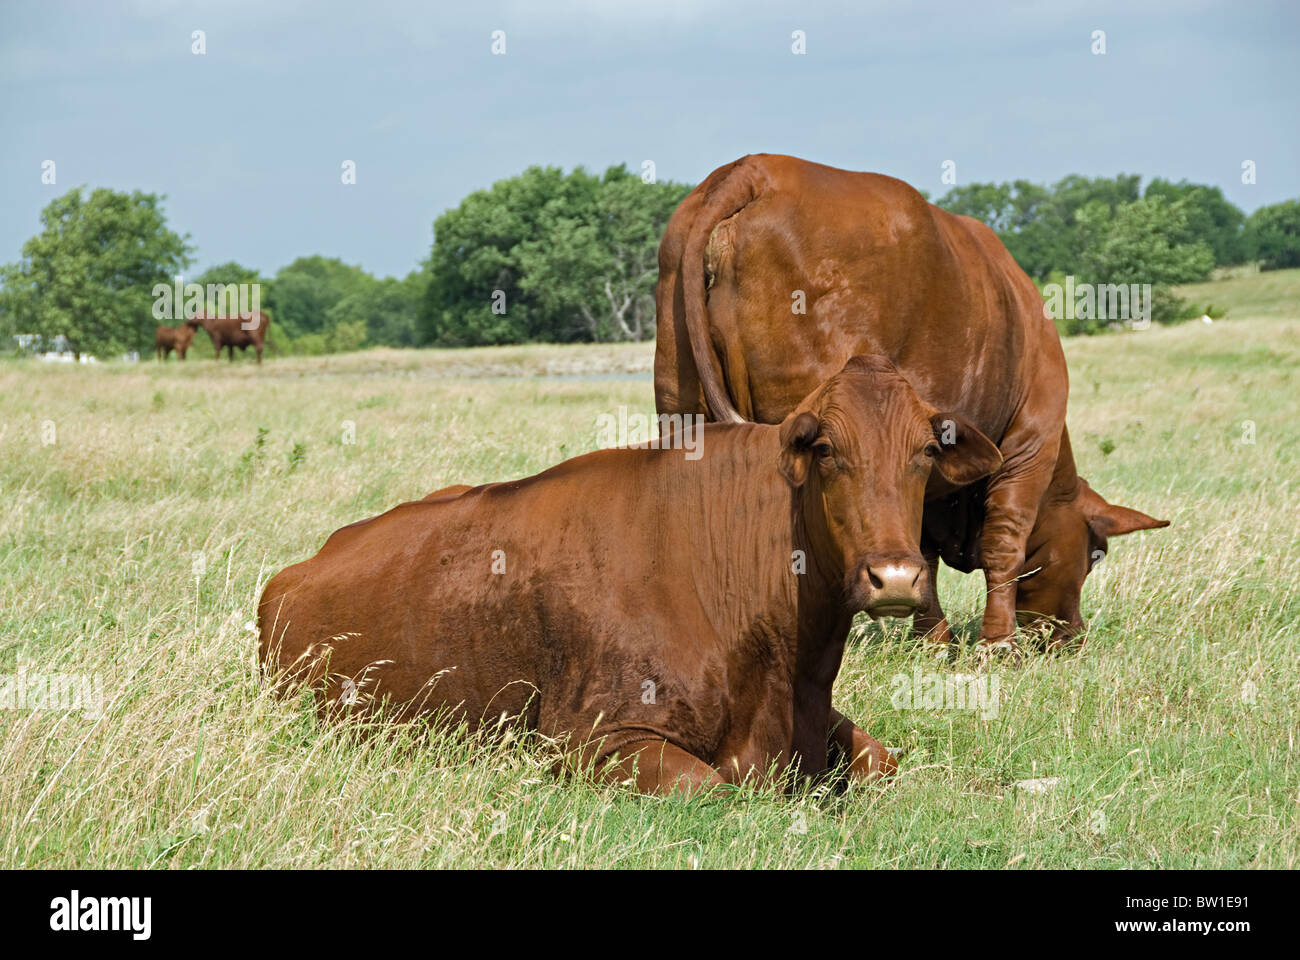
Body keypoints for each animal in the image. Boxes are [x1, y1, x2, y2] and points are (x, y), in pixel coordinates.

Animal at [259, 356, 1002, 795]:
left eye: (924, 451)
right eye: (824, 449)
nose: (896, 576)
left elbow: (885, 763)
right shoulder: (587, 739)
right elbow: (709, 786)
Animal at [654, 154, 1169, 656]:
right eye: (1094, 554)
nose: (1072, 636)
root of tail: (754, 169)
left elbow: (918, 547)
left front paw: (932, 639)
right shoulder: (1030, 443)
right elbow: (1006, 543)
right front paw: (998, 645)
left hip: (681, 403)